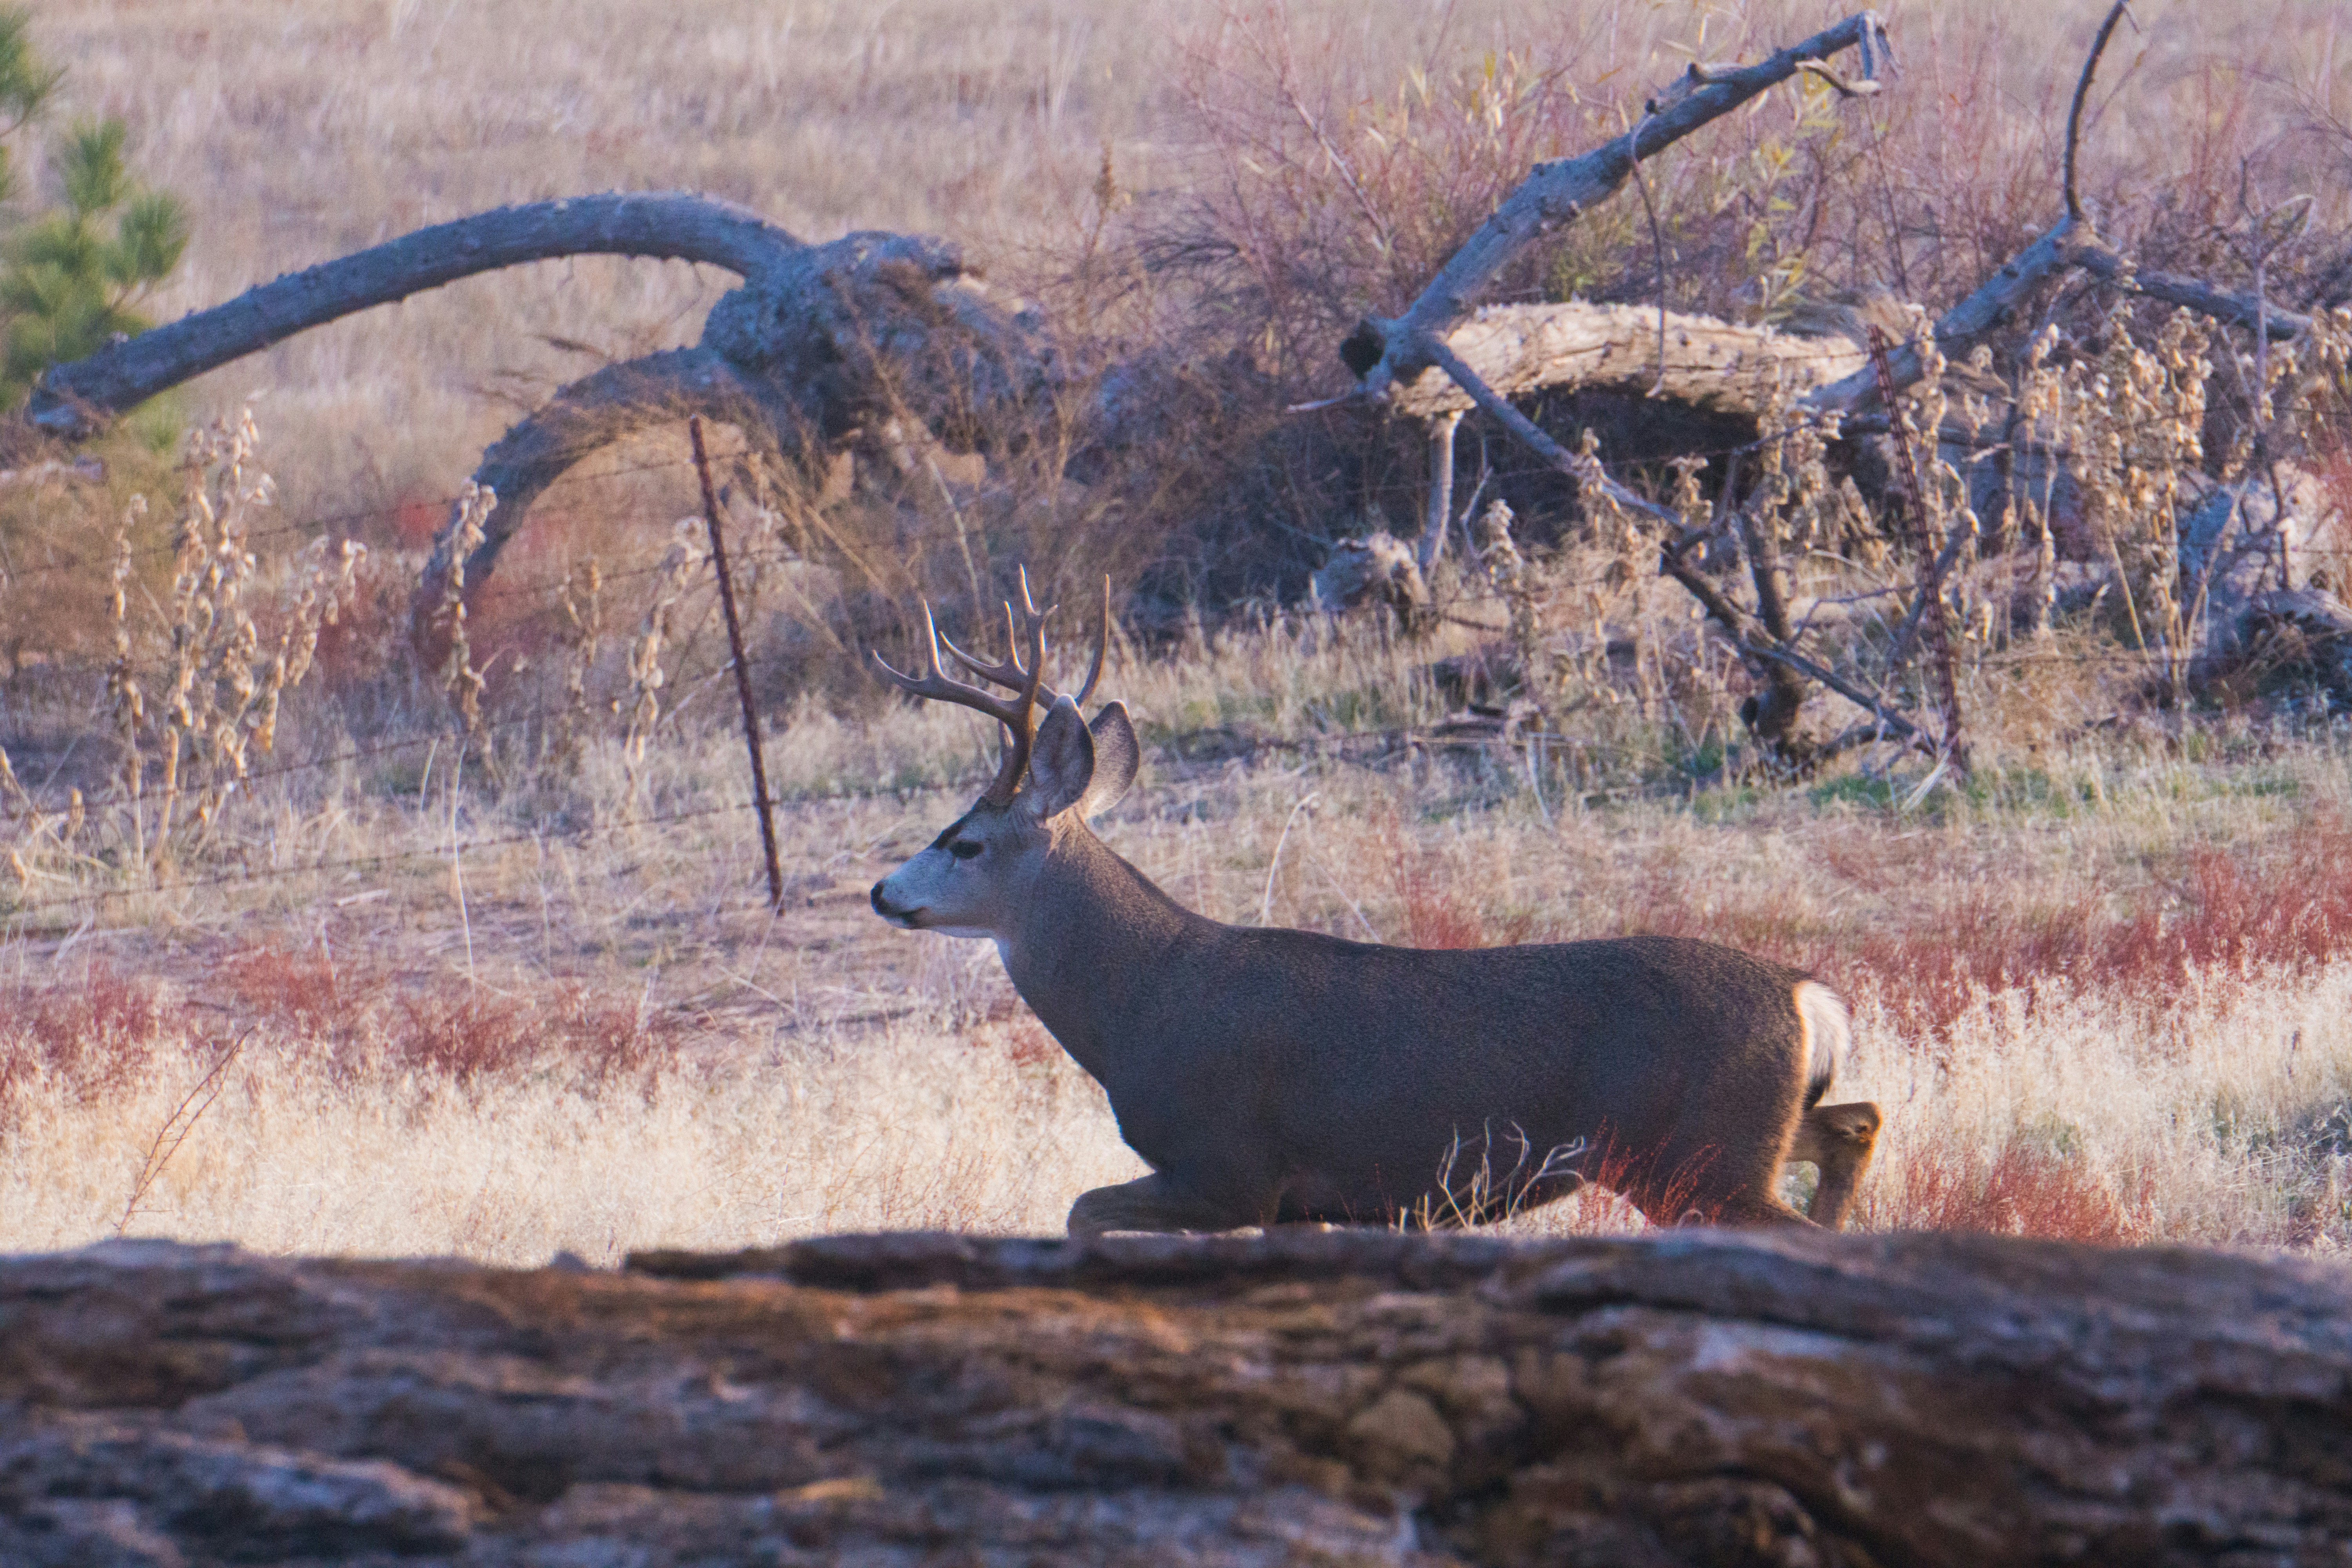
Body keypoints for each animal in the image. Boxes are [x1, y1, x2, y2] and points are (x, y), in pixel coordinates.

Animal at [868, 577, 1882, 1236]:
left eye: (963, 840)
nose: (881, 891)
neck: (1137, 1007)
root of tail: (1807, 996)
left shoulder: (1228, 1165)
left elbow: (1081, 1212)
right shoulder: (1307, 1203)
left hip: (1695, 1155)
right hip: (1740, 1134)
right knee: (1857, 1122)